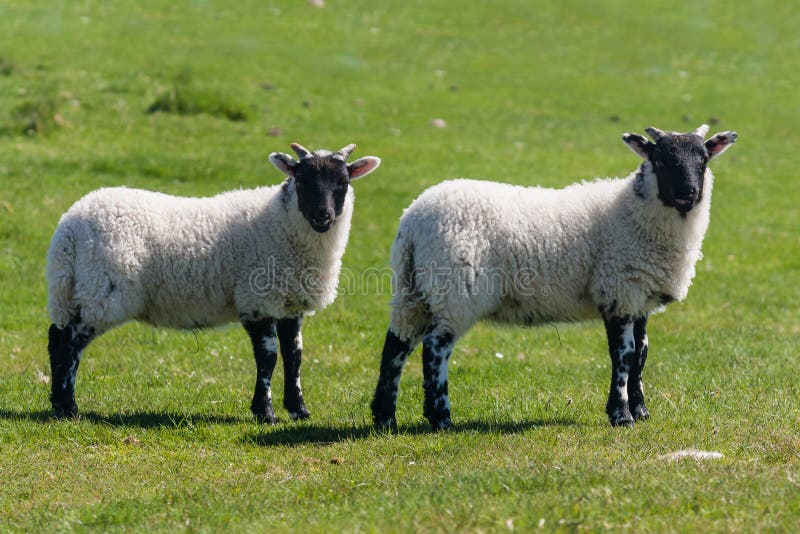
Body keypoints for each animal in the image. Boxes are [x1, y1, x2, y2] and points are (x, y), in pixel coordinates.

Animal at [46, 142, 381, 421]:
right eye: (302, 182)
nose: (323, 216)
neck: (282, 225)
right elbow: (268, 357)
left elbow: (294, 356)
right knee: (70, 342)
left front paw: (299, 410)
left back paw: (57, 403)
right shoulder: (257, 301)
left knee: (55, 336)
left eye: (343, 184)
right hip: (103, 291)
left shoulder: (290, 304)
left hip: (79, 289)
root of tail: (69, 228)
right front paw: (265, 412)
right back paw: (69, 407)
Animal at [371, 125, 737, 430]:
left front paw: (641, 410)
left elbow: (642, 354)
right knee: (435, 347)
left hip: (413, 291)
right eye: (660, 160)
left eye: (703, 161)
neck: (635, 215)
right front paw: (621, 415)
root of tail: (412, 221)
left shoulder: (640, 296)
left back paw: (385, 418)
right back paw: (441, 418)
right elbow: (624, 355)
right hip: (456, 289)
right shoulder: (617, 290)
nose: (688, 192)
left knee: (396, 347)